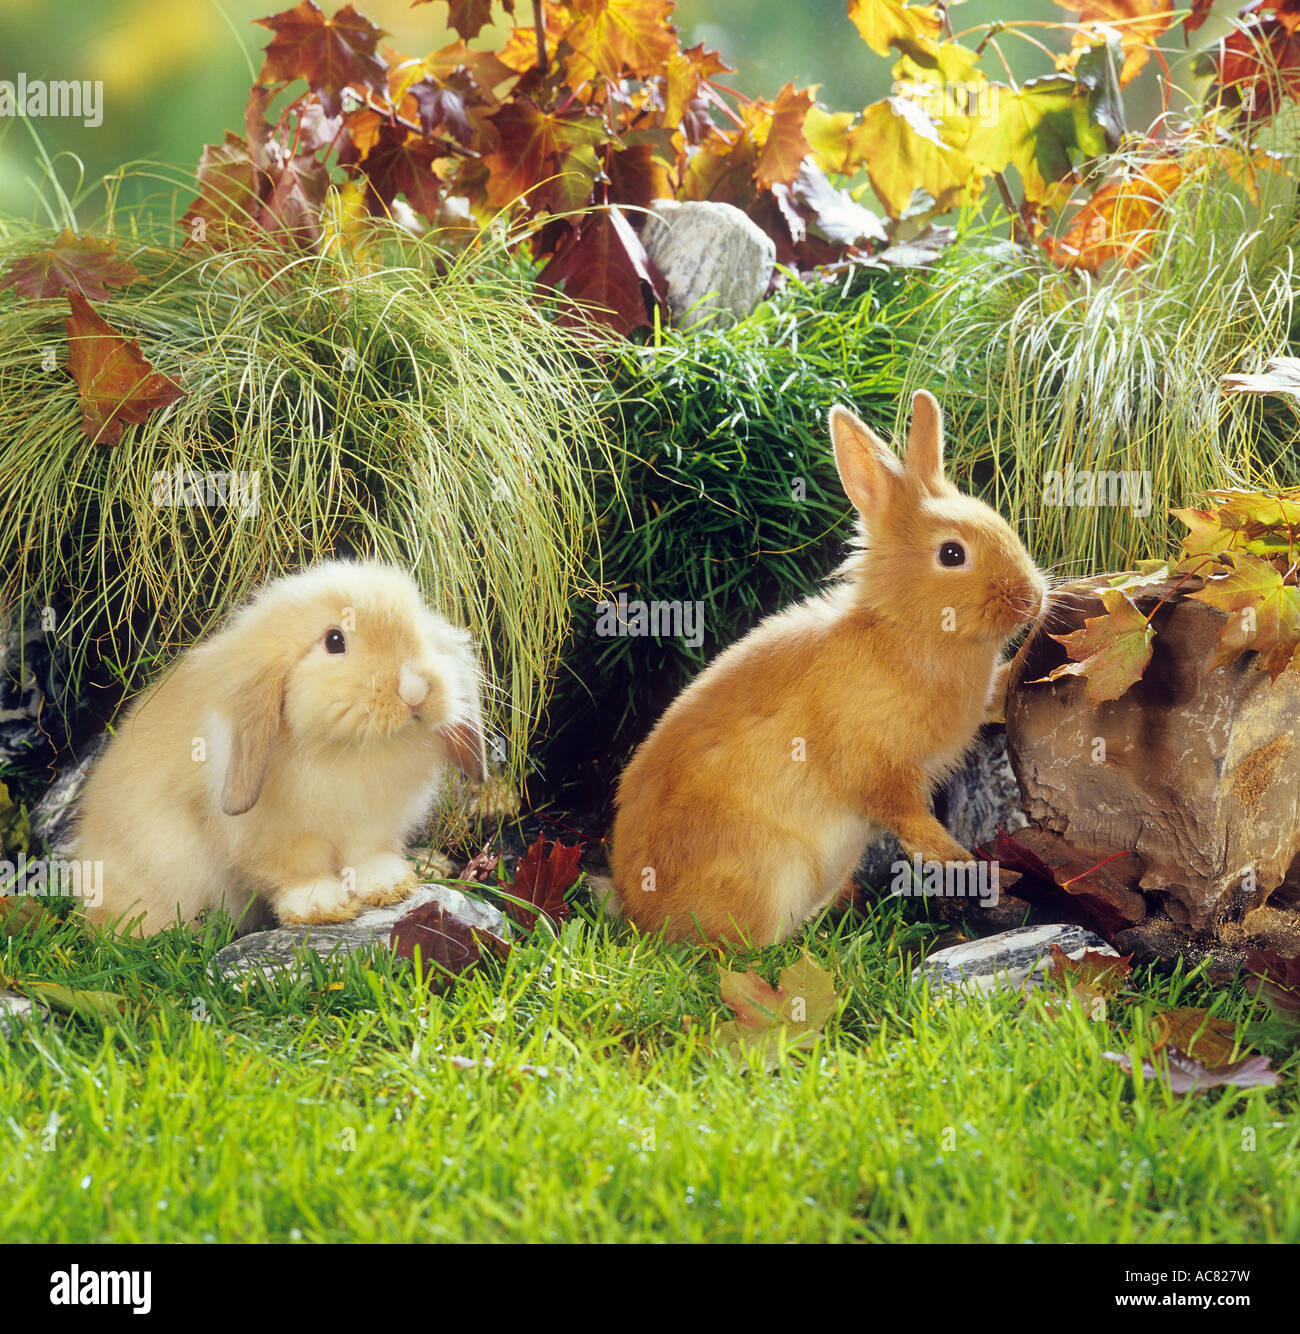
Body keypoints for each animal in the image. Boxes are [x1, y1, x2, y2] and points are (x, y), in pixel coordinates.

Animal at [77, 560, 487, 937]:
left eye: (420, 628)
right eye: (334, 641)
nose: (415, 689)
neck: (348, 752)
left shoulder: (373, 822)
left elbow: (369, 855)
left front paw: (389, 886)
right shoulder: (272, 837)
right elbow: (297, 869)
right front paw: (321, 907)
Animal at [607, 390, 1047, 945]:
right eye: (952, 553)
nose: (1032, 599)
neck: (905, 629)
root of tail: (637, 911)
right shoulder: (880, 769)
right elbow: (911, 819)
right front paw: (969, 862)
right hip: (770, 871)